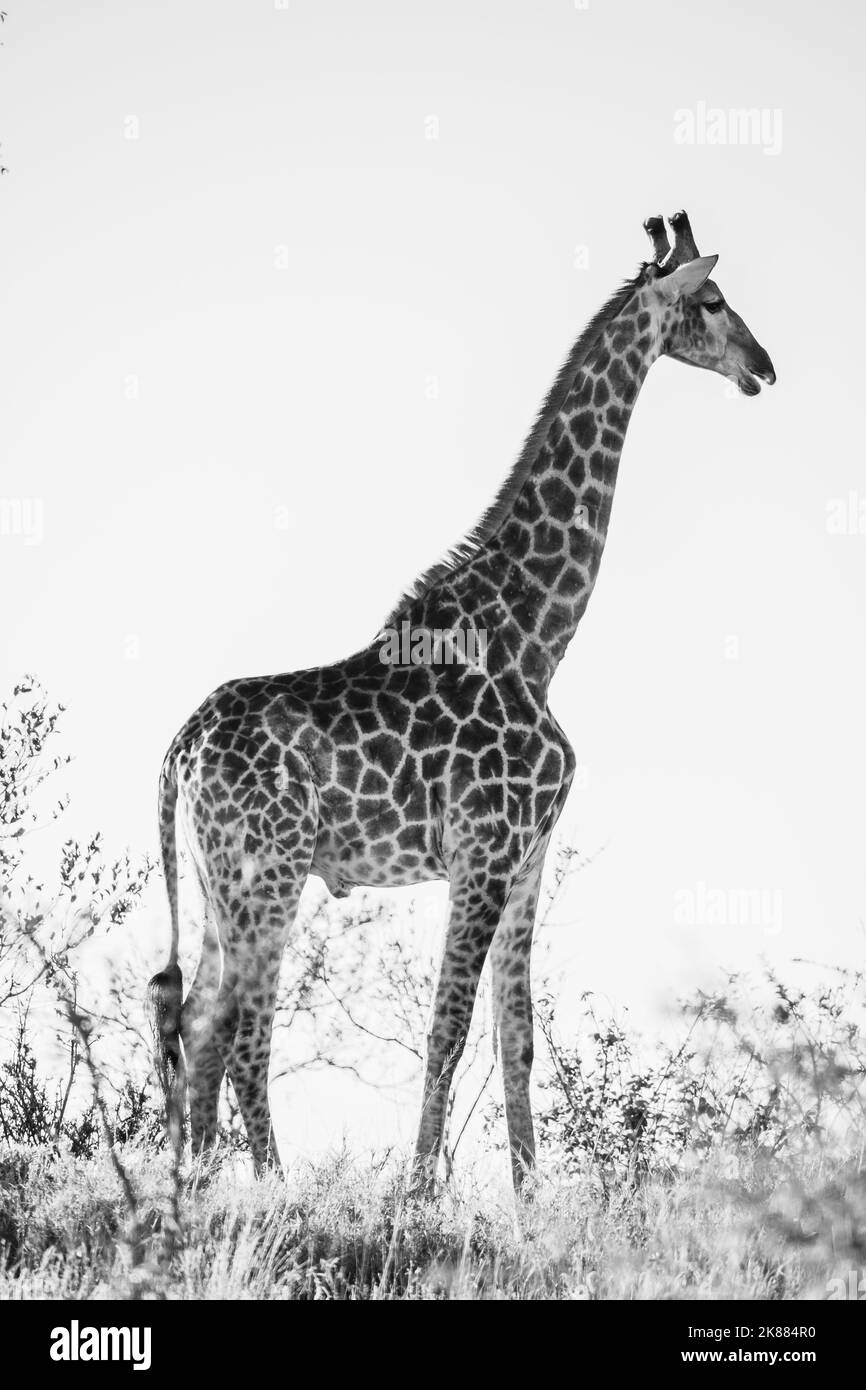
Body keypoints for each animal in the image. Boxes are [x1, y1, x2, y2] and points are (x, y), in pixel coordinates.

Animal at [148, 212, 775, 1192]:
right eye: (712, 299)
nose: (764, 364)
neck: (537, 634)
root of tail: (180, 748)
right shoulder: (481, 850)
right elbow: (446, 1029)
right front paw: (417, 1193)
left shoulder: (527, 854)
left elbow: (516, 1034)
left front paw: (529, 1196)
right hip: (267, 871)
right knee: (232, 1026)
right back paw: (267, 1188)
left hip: (219, 879)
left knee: (196, 1017)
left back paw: (203, 1185)